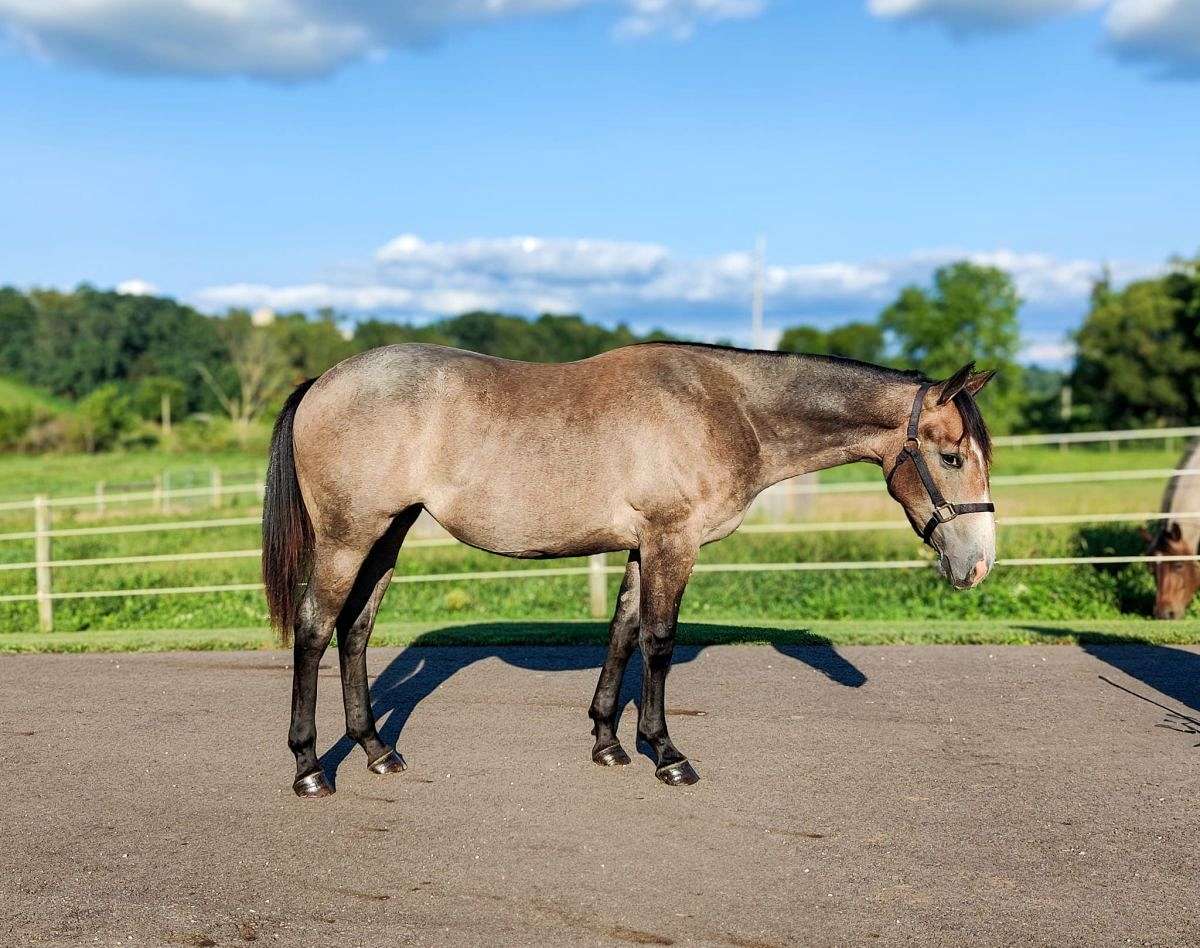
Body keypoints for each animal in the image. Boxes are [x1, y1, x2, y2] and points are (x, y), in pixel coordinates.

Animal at [261, 342, 996, 798]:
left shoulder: (644, 547)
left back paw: (376, 750)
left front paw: (608, 743)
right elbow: (659, 644)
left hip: (388, 534)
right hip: (348, 537)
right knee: (317, 630)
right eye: (952, 456)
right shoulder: (673, 542)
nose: (979, 564)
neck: (727, 408)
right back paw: (309, 768)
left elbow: (621, 636)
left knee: (356, 632)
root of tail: (323, 382)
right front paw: (667, 755)